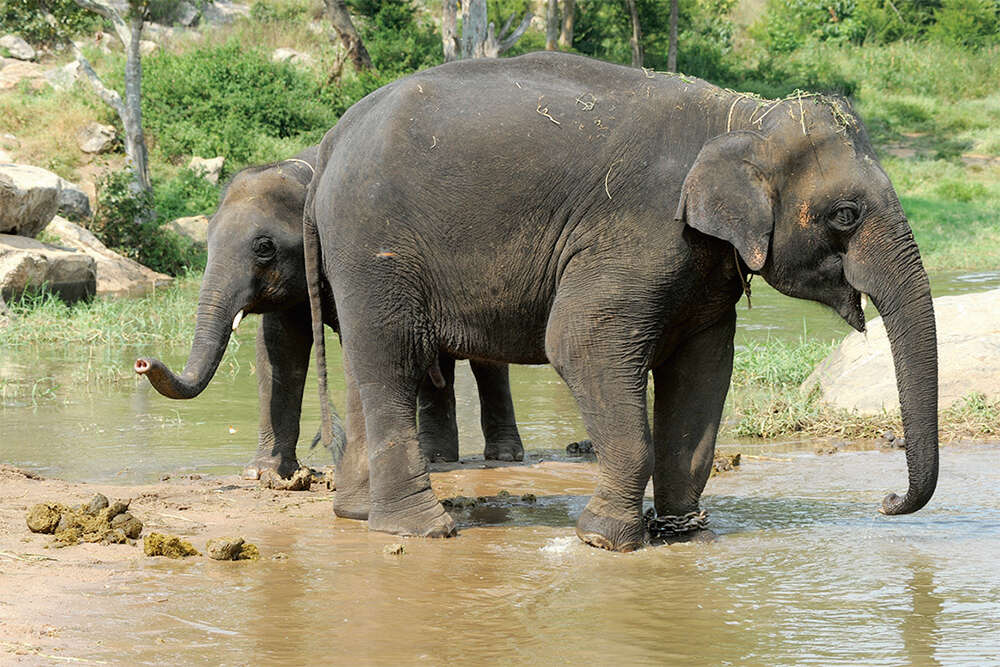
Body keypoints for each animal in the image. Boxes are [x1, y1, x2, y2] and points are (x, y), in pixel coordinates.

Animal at [133, 146, 524, 493]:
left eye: (264, 247)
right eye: (208, 239)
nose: (141, 362)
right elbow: (279, 349)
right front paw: (262, 473)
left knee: (488, 361)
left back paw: (503, 456)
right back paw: (437, 458)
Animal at [303, 51, 938, 551]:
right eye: (845, 215)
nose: (885, 500)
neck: (741, 116)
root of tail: (330, 143)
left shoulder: (702, 265)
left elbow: (702, 369)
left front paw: (686, 534)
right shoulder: (638, 230)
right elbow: (579, 343)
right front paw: (605, 539)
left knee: (366, 366)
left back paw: (357, 514)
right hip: (374, 244)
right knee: (394, 361)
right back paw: (422, 530)